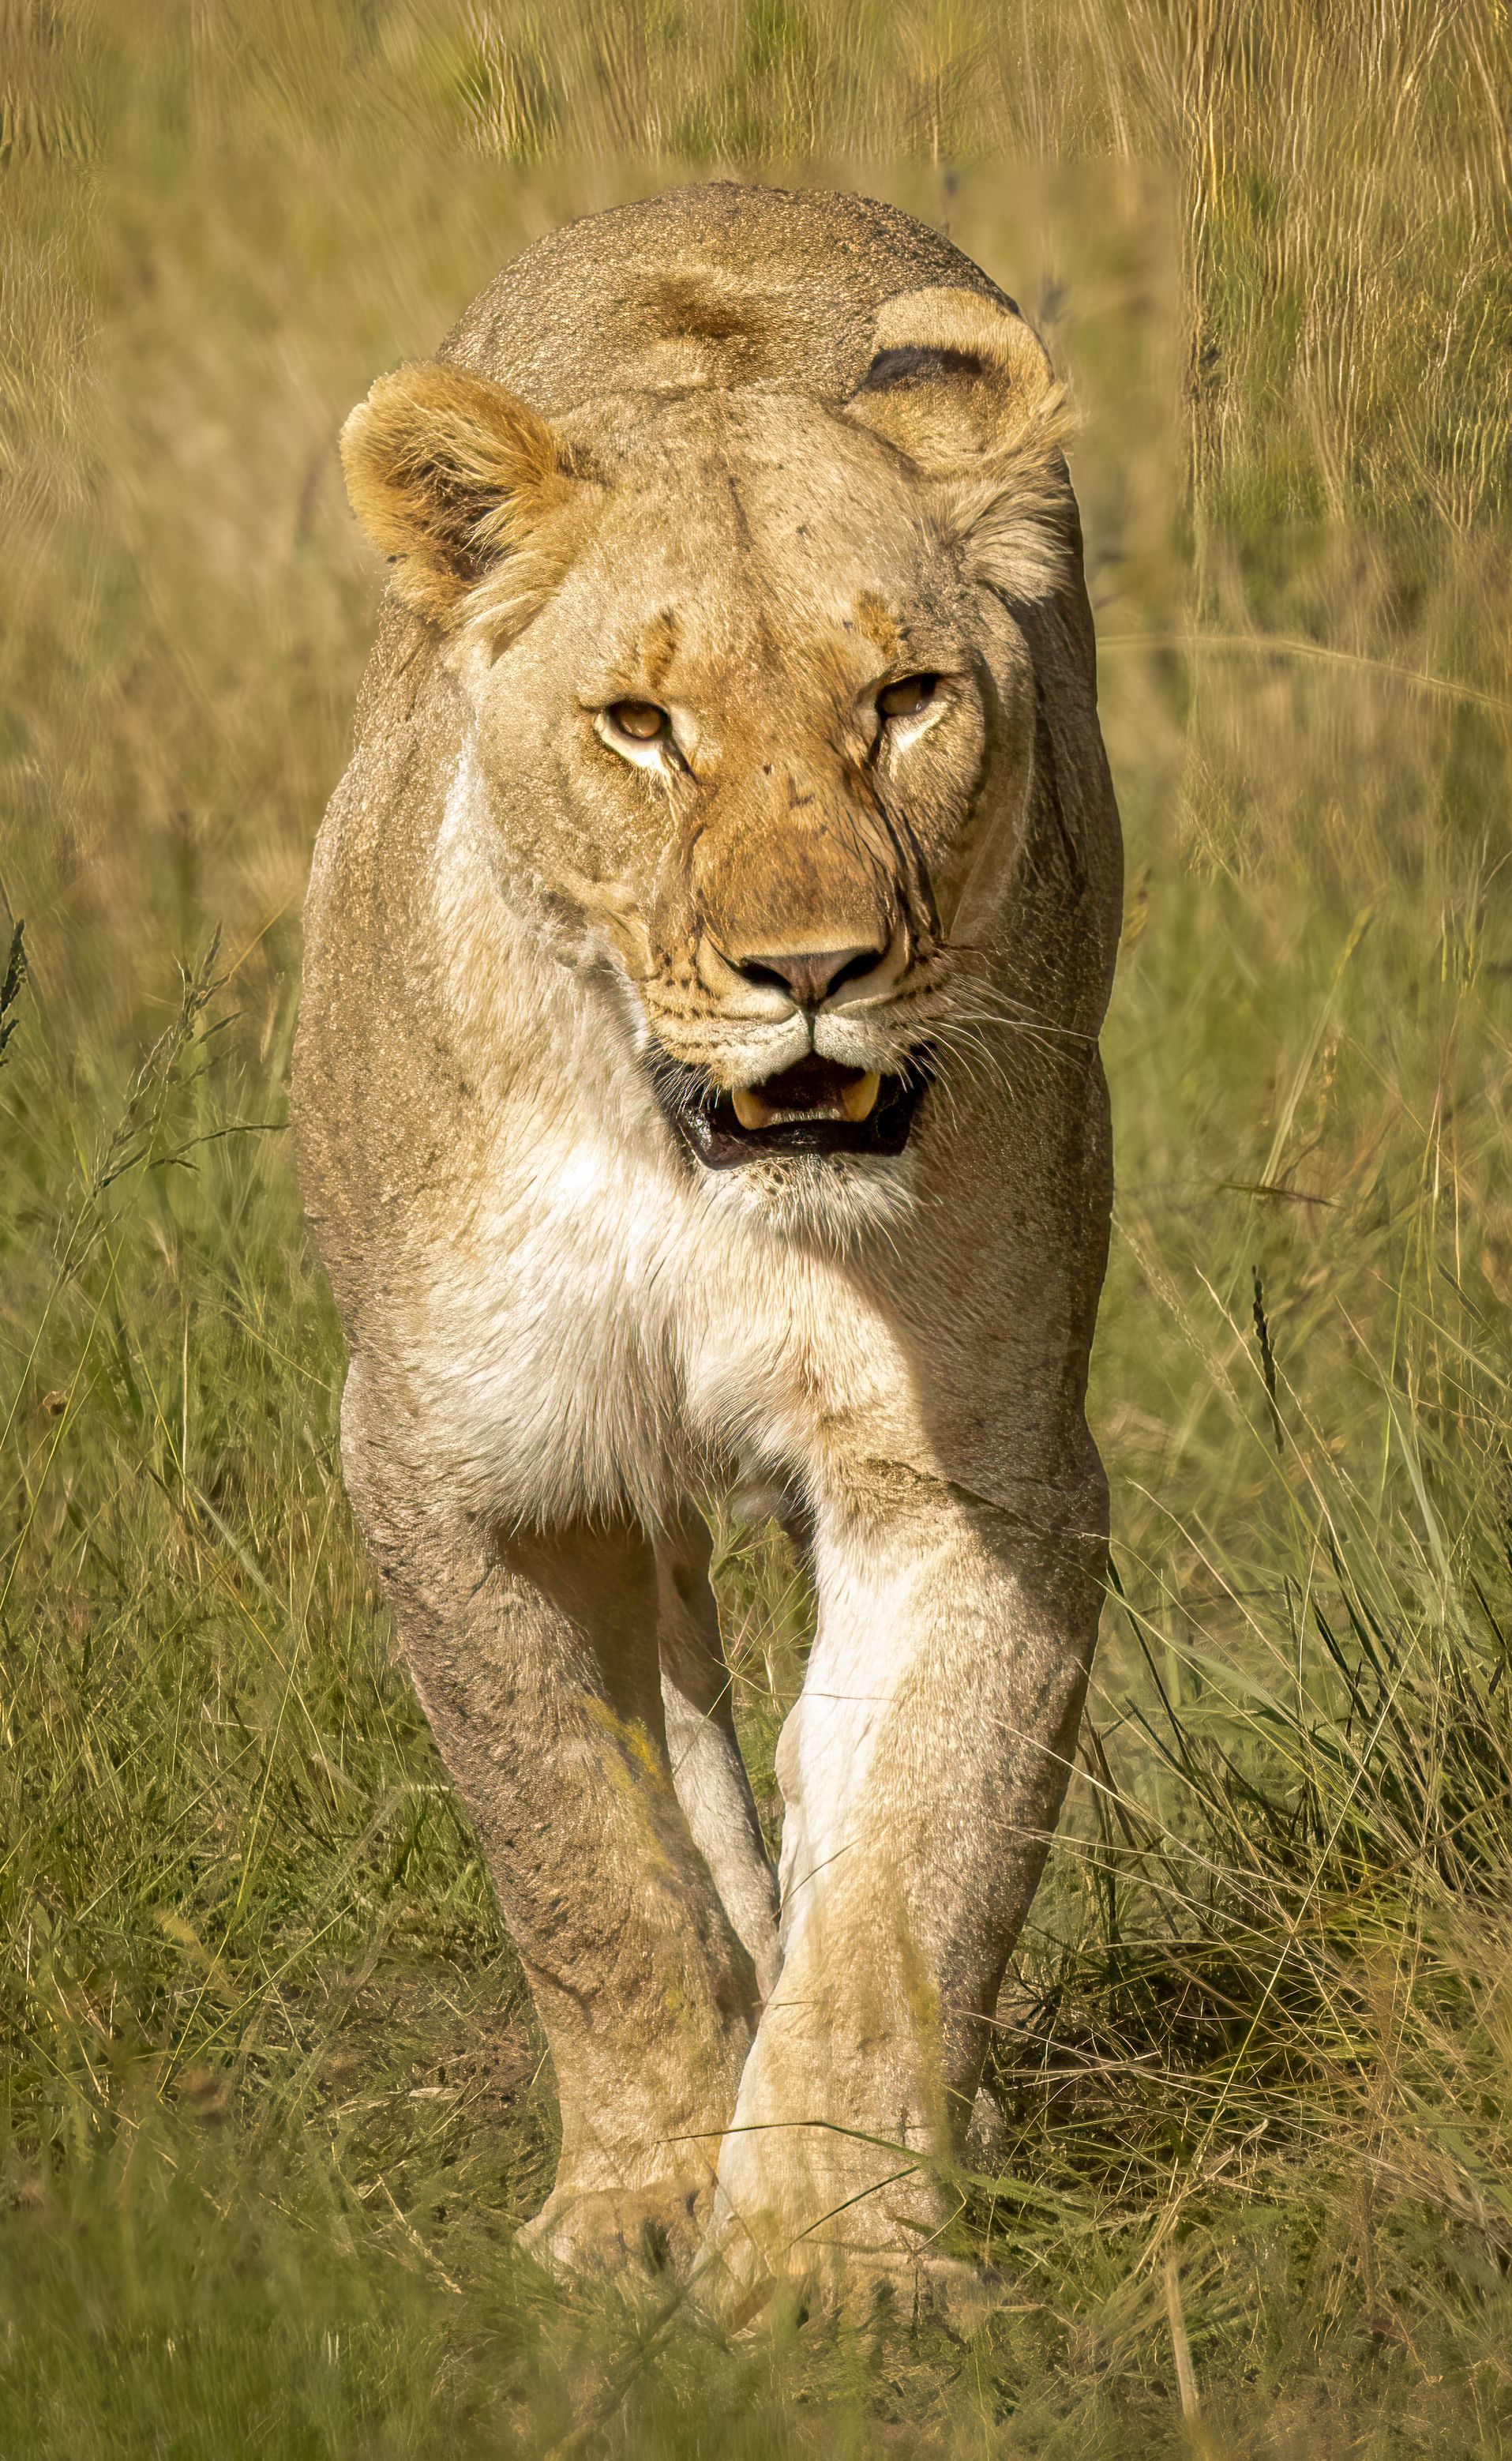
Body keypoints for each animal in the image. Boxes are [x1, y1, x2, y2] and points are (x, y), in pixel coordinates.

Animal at [294, 181, 1121, 2310]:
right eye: (641, 729)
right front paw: (642, 2196)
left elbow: (912, 1870)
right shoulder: (457, 1461)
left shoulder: (976, 1476)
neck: (700, 1185)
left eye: (904, 700)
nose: (812, 969)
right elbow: (582, 1864)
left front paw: (827, 2244)